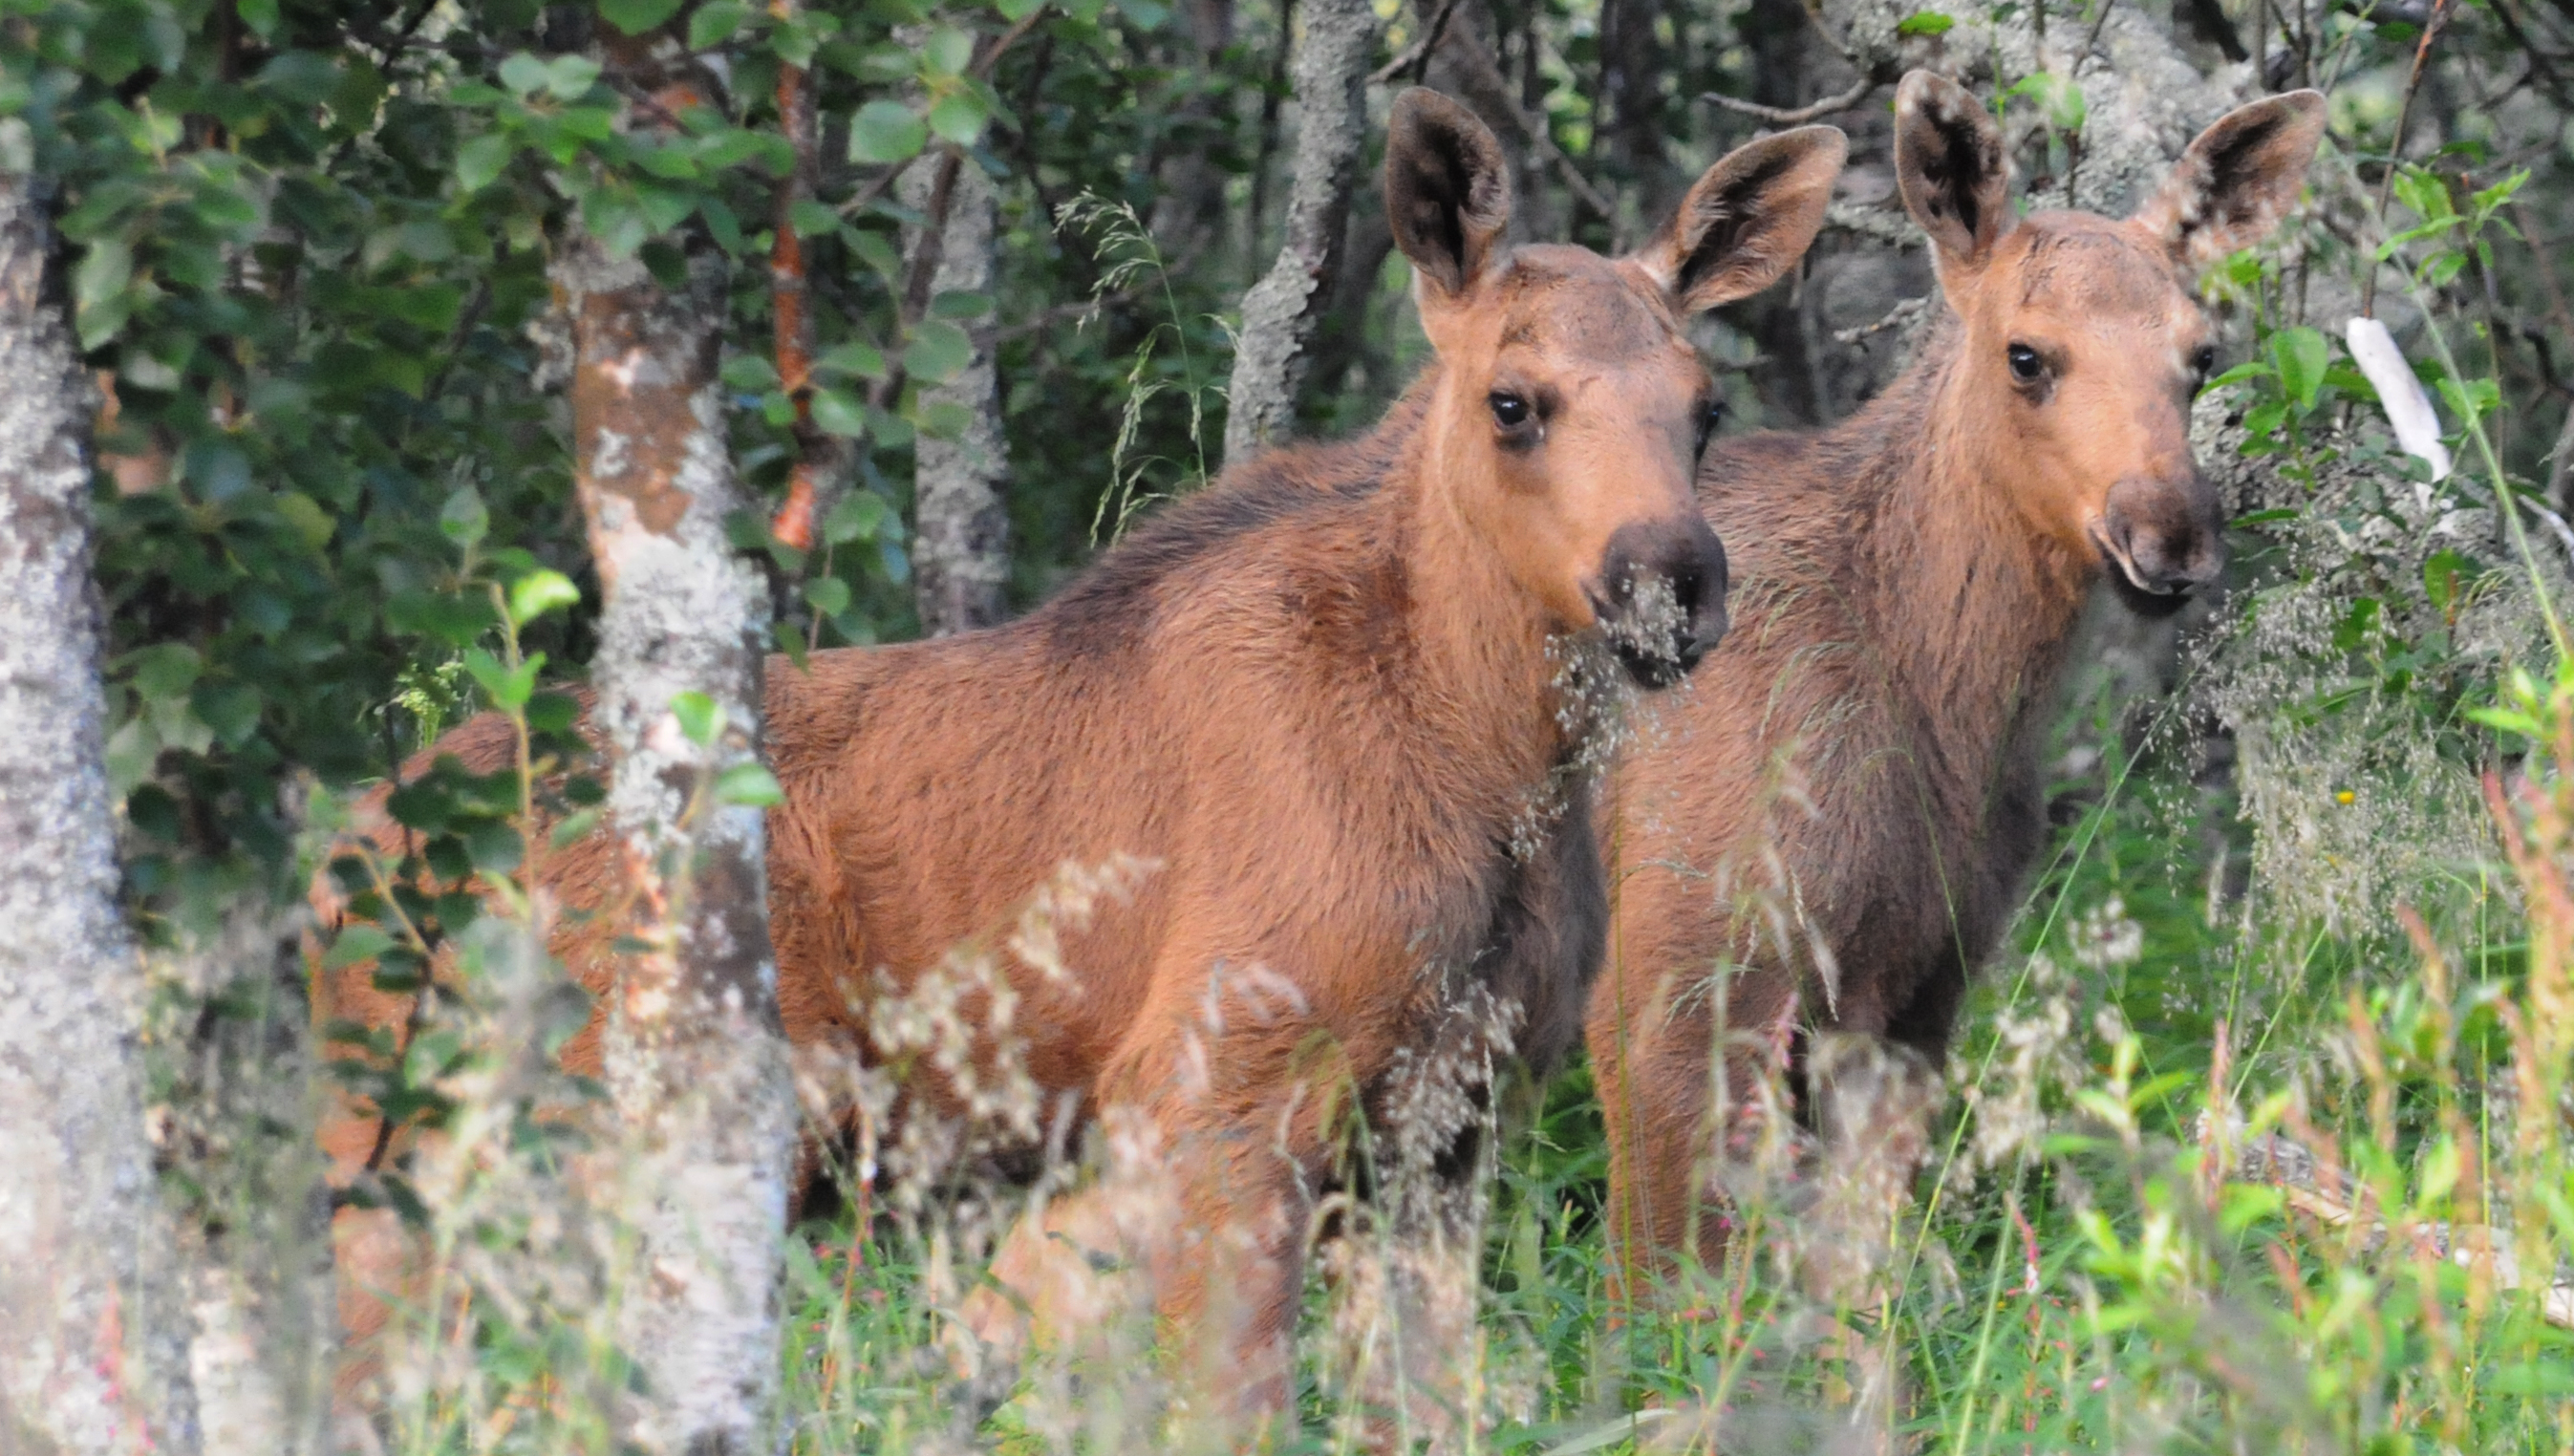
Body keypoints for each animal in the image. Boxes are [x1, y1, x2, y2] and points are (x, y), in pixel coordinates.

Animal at [316, 89, 1848, 1427]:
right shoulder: (1216, 1097)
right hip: (521, 1149)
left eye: (1704, 408)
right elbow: (1226, 1408)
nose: (1670, 584)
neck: (1497, 767)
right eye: (1513, 401)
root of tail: (349, 856)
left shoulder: (1445, 1132)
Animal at [1585, 71, 2326, 1292]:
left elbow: (1854, 1282)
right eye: (2025, 353)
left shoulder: (1918, 989)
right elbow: (1660, 1288)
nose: (2171, 535)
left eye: (2203, 354)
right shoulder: (1676, 965)